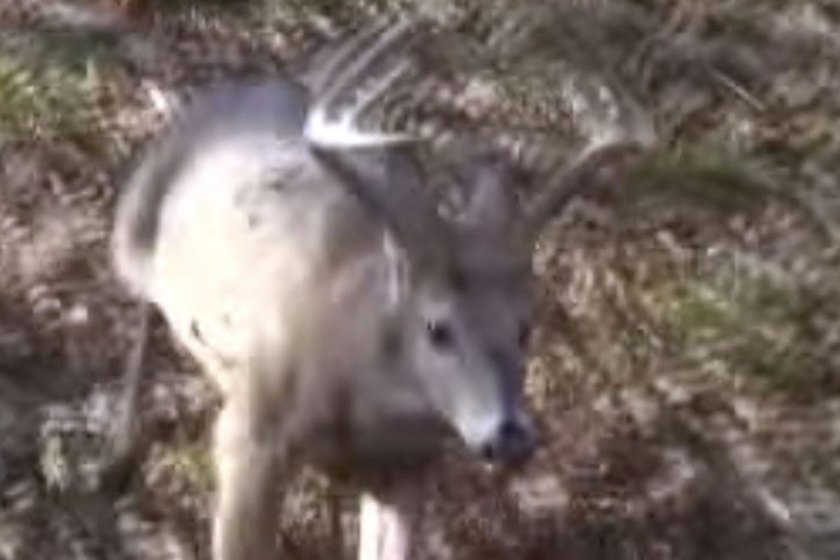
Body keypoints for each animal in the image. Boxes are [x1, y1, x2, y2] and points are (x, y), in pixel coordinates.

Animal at [108, 18, 651, 560]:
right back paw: (119, 456)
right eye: (437, 327)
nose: (511, 437)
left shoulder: (410, 467)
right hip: (130, 232)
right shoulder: (248, 433)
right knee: (144, 302)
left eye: (525, 329)